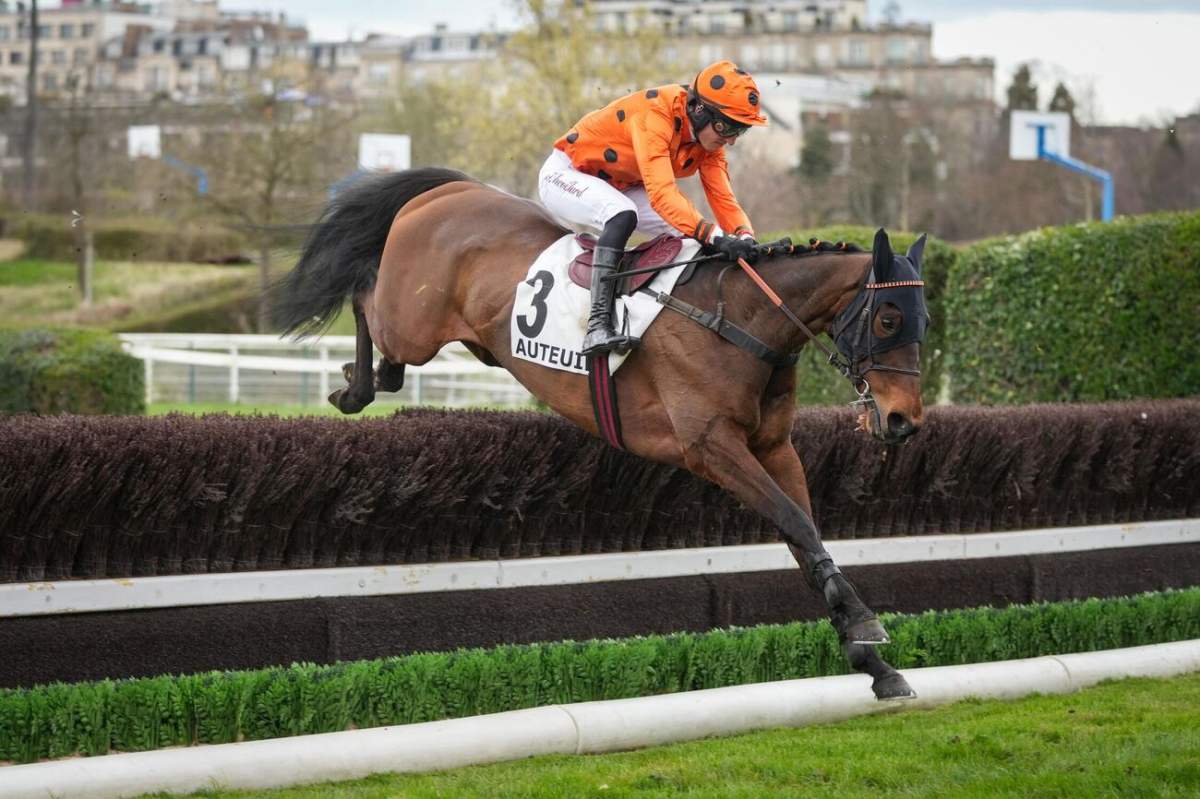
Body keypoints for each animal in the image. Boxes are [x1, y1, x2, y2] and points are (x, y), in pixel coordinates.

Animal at [271, 167, 930, 700]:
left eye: (924, 320)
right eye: (888, 319)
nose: (903, 421)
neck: (739, 318)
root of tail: (447, 191)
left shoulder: (773, 447)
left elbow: (805, 536)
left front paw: (871, 660)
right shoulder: (710, 446)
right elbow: (794, 522)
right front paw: (866, 631)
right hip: (412, 321)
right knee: (364, 297)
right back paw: (356, 386)